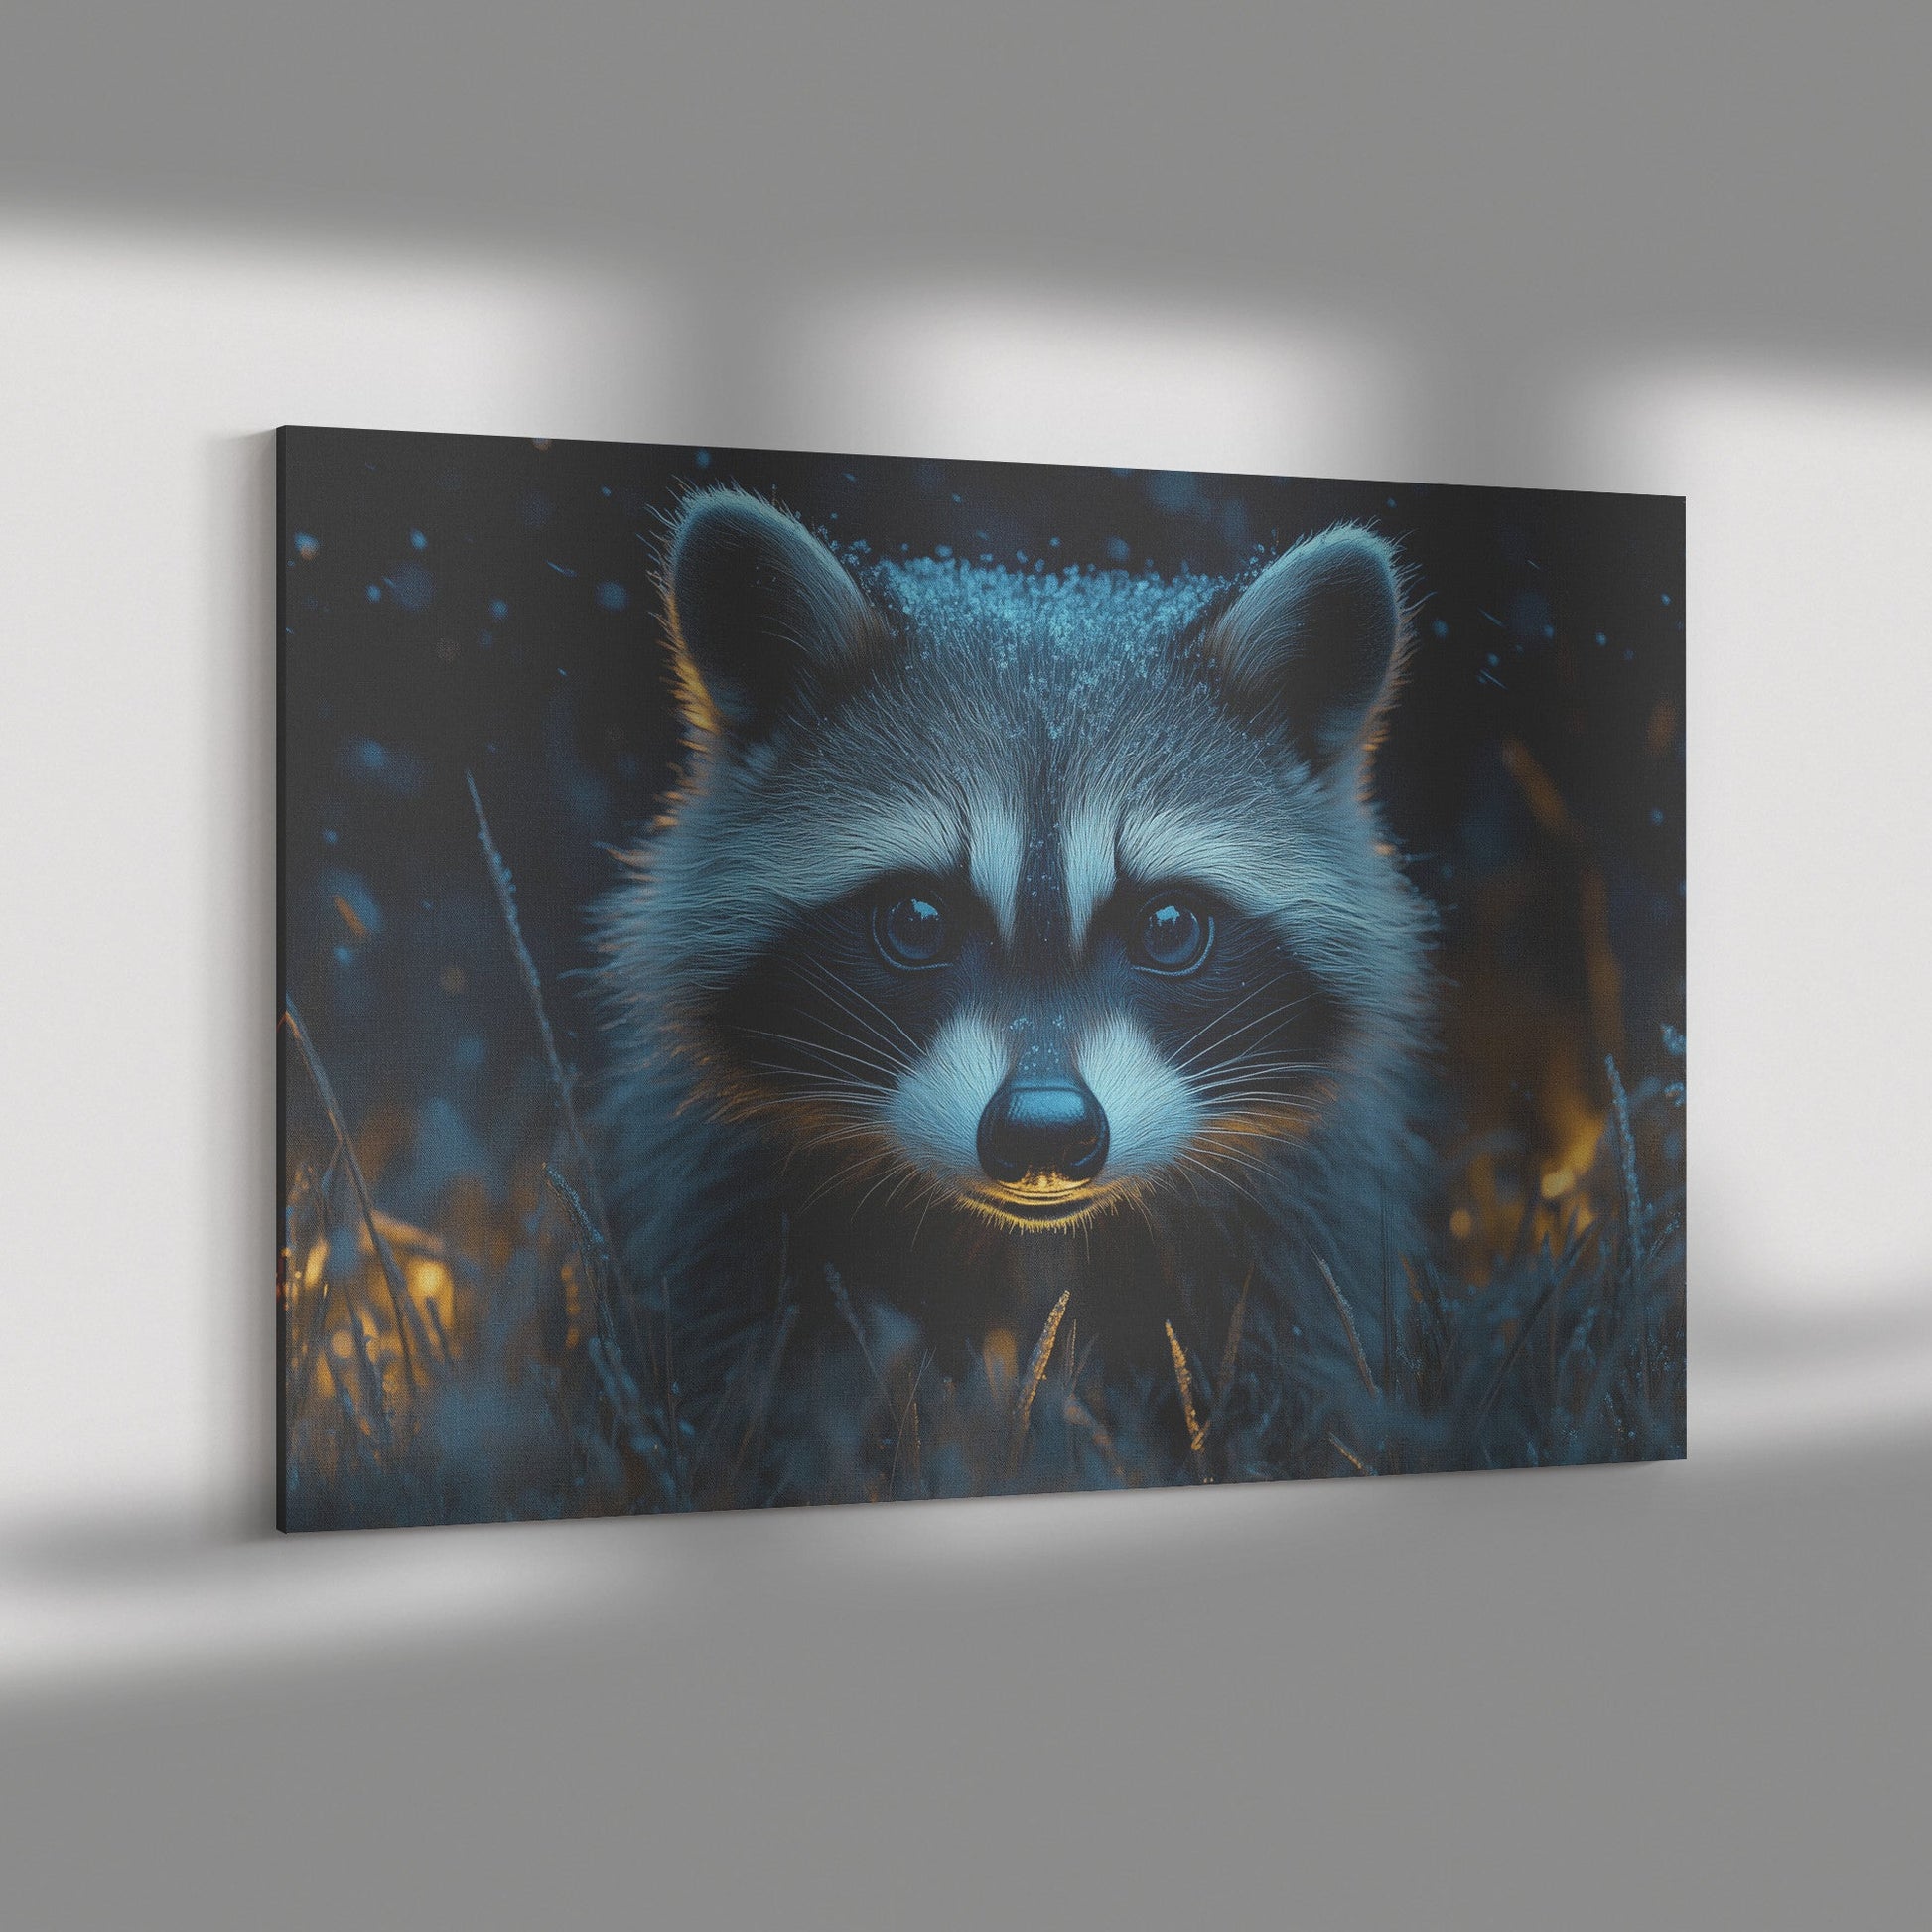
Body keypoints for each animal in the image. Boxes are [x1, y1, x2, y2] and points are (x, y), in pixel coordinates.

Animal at [594, 488, 1433, 1488]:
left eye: (1167, 927)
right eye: (918, 921)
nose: (1043, 1131)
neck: (1031, 1255)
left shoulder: (1309, 1232)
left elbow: (1303, 1384)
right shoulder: (719, 1212)